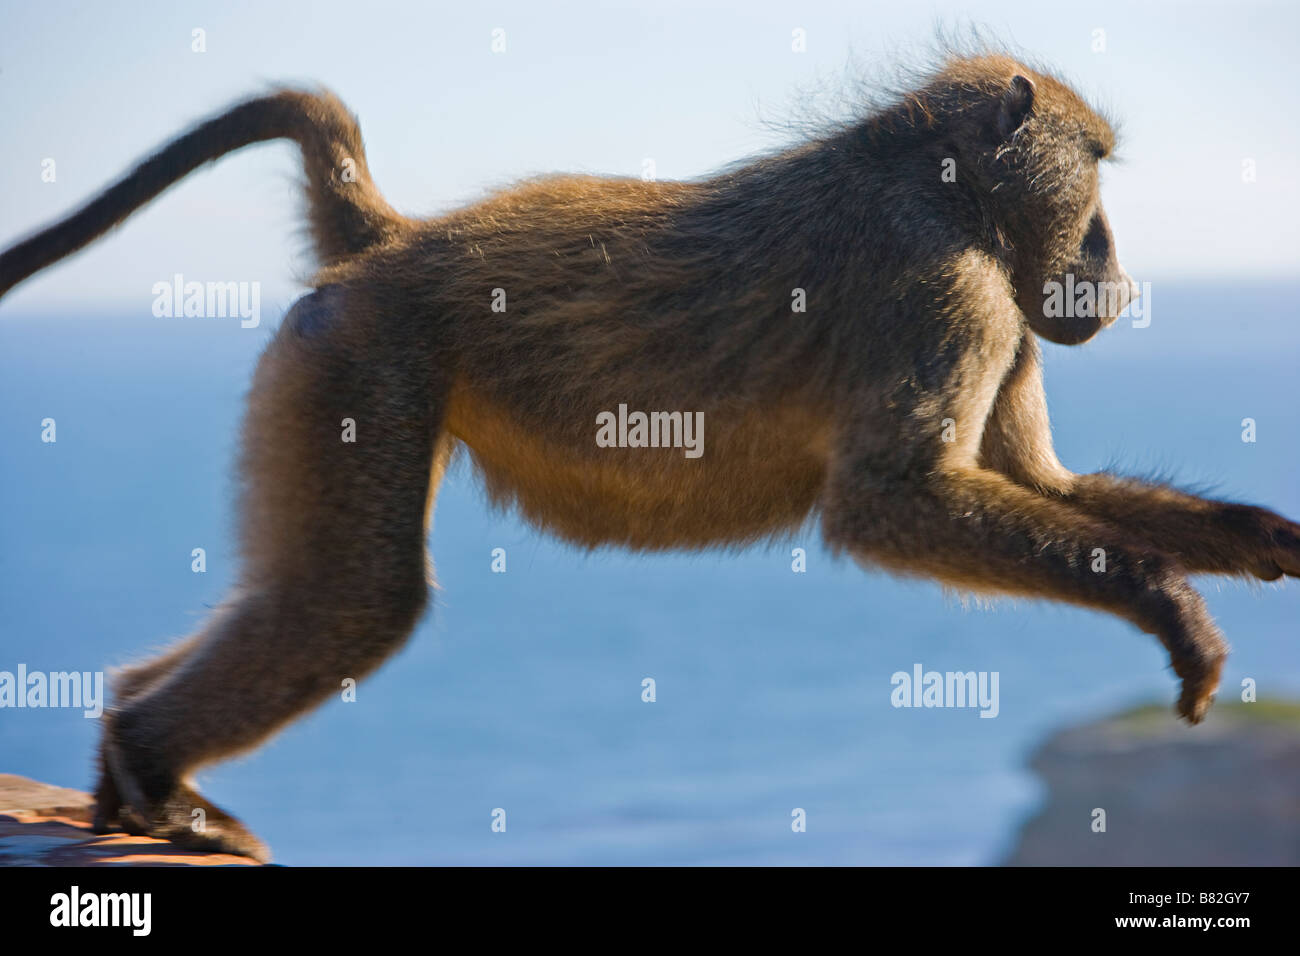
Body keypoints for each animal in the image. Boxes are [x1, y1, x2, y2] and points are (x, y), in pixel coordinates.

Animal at [2, 52, 1297, 863]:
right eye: (1096, 171)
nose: (1113, 265)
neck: (941, 188)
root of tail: (395, 241)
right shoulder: (950, 292)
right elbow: (890, 503)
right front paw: (1170, 605)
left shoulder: (1005, 318)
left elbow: (1046, 490)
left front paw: (1263, 542)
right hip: (358, 359)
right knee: (354, 595)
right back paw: (152, 763)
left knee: (307, 594)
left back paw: (138, 770)